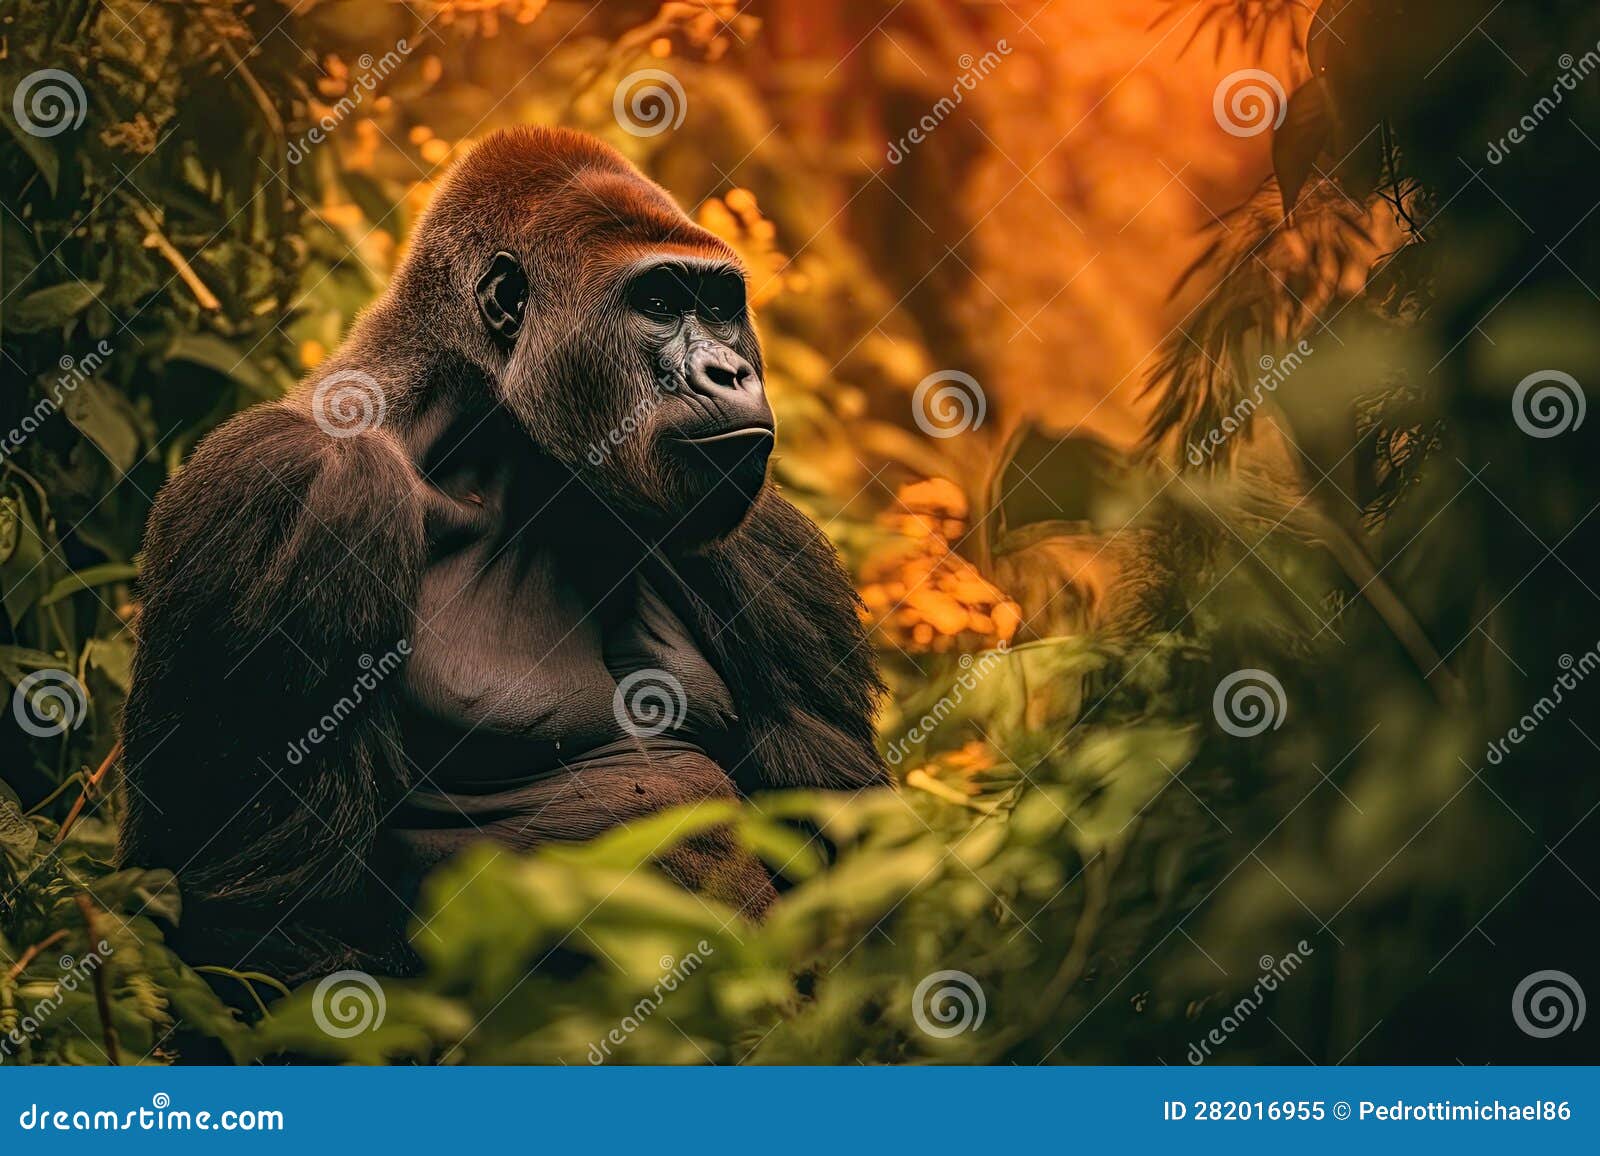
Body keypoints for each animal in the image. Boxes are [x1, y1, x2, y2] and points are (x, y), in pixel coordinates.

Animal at [118, 126, 886, 985]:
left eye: (720, 309)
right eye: (658, 302)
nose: (731, 370)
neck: (496, 452)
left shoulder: (763, 537)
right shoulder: (297, 484)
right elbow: (264, 914)